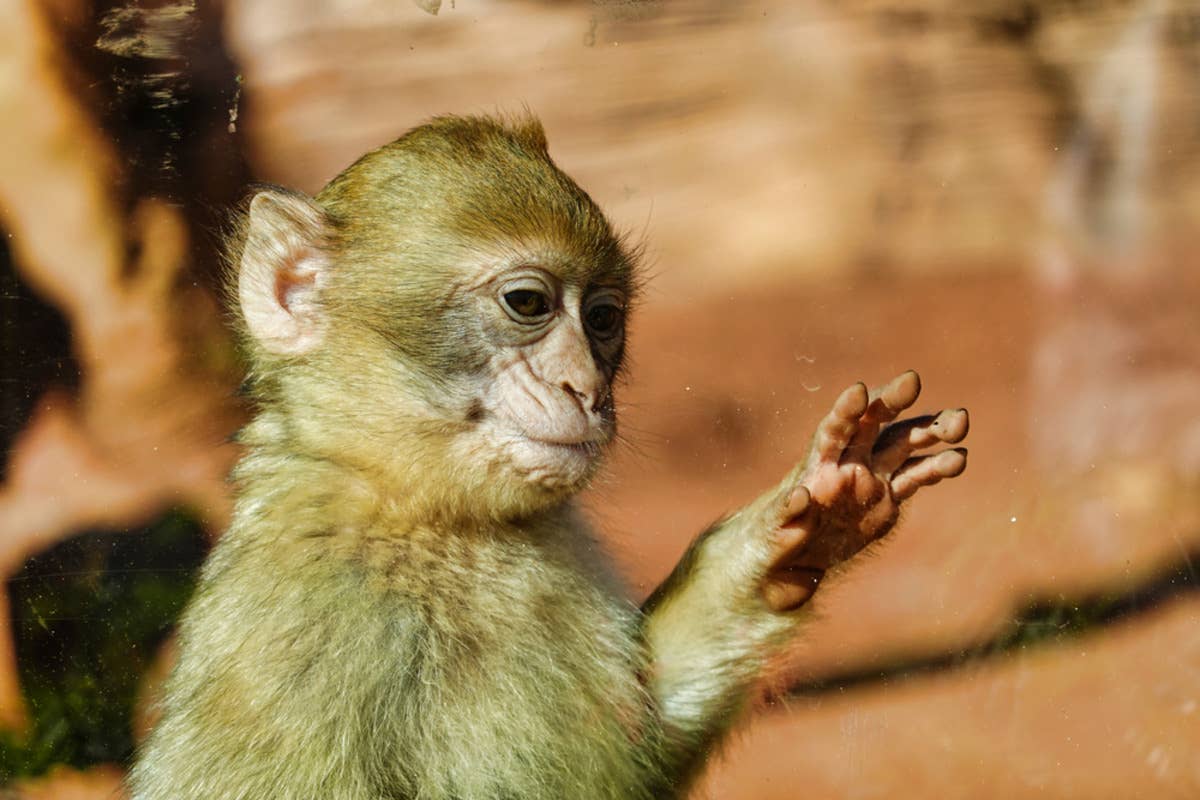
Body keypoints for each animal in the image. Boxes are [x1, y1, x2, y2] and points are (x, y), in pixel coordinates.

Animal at [128, 113, 969, 800]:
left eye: (602, 320)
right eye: (528, 304)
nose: (587, 387)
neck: (431, 523)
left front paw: (798, 536)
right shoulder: (301, 626)